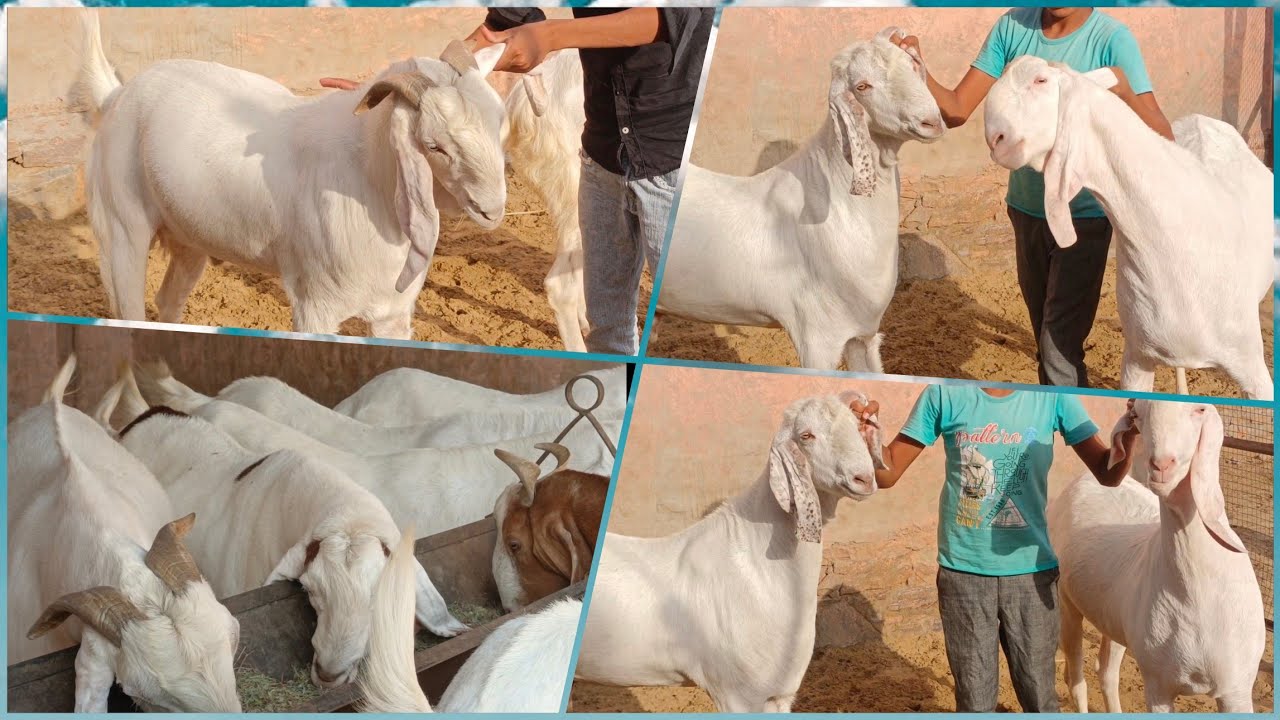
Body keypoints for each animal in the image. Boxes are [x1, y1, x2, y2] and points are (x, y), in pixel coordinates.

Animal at [79, 11, 508, 338]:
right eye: (434, 145)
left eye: (500, 123)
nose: (493, 209)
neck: (367, 179)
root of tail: (116, 96)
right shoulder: (315, 304)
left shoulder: (394, 313)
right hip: (120, 227)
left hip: (188, 234)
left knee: (168, 302)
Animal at [574, 393, 887, 712]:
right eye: (806, 435)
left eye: (857, 426)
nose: (863, 478)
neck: (760, 567)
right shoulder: (737, 693)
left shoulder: (780, 692)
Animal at [1048, 399, 1264, 712]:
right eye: (1138, 415)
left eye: (1199, 411)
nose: (1161, 466)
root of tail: (1086, 479)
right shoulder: (1157, 684)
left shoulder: (1237, 689)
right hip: (1067, 603)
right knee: (1076, 679)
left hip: (1113, 616)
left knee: (1106, 672)